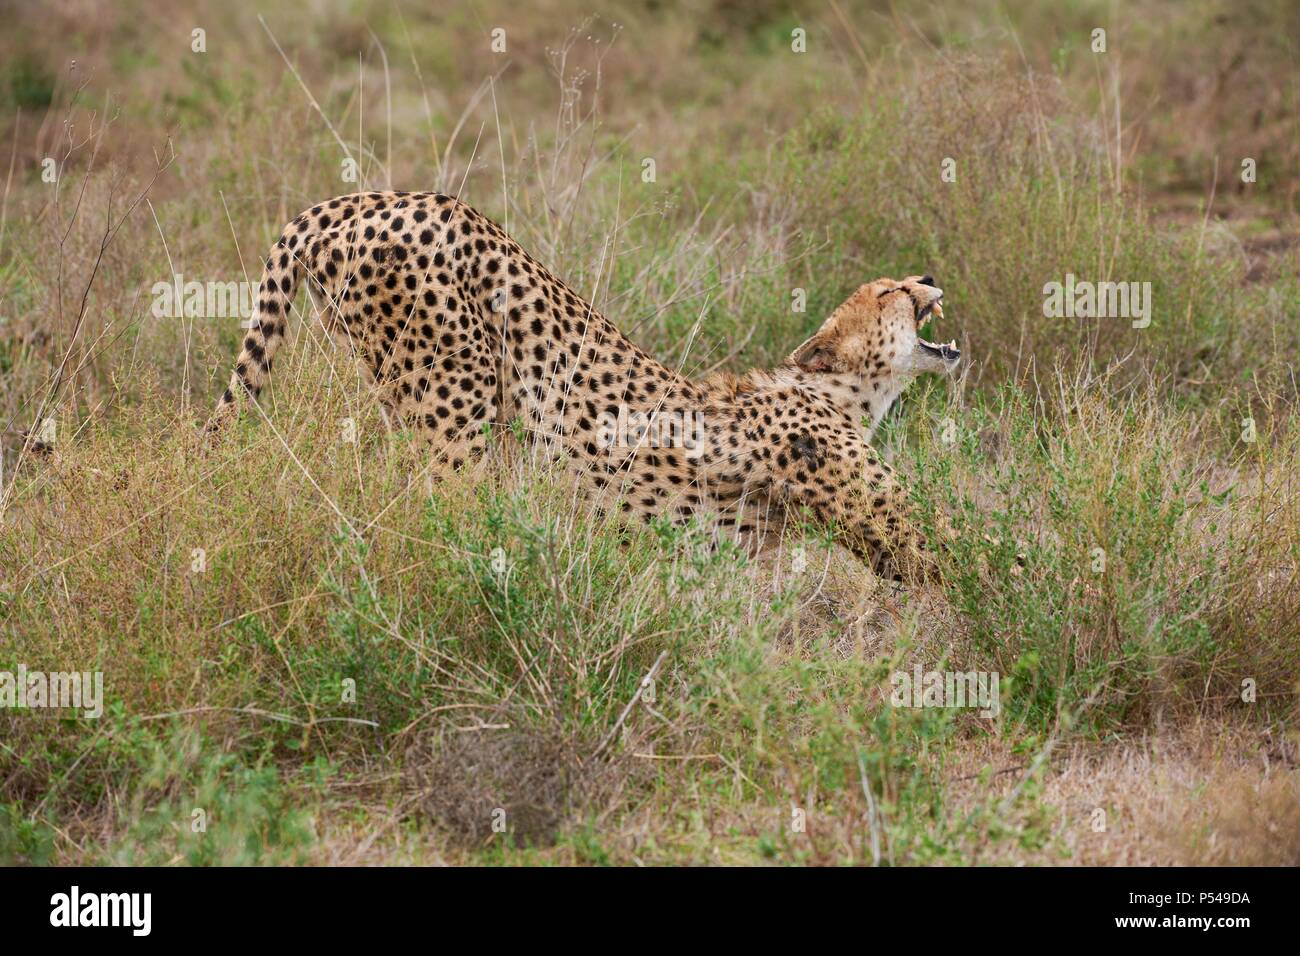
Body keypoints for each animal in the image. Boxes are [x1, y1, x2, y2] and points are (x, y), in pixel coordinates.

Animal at [208, 191, 961, 583]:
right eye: (892, 290)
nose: (927, 275)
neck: (843, 392)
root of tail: (360, 197)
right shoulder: (887, 526)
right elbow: (964, 561)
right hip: (458, 411)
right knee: (439, 515)